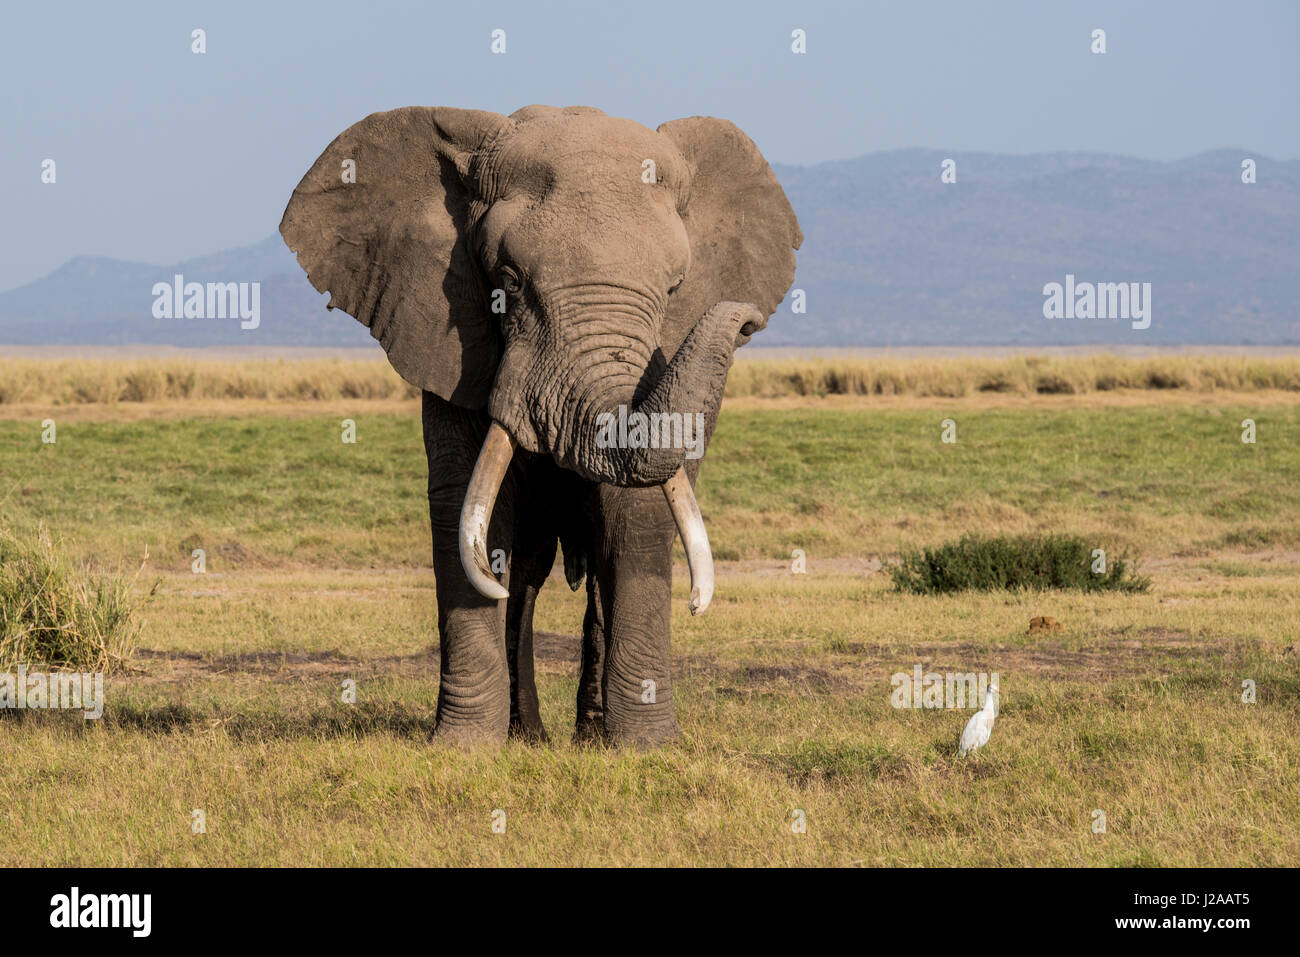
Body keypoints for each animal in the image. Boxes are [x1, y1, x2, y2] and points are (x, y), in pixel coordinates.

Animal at [280, 105, 800, 747]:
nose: (747, 317)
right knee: (523, 571)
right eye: (509, 281)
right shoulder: (451, 342)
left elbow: (638, 510)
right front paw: (463, 750)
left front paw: (646, 750)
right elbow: (468, 509)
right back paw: (529, 735)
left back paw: (588, 737)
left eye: (676, 288)